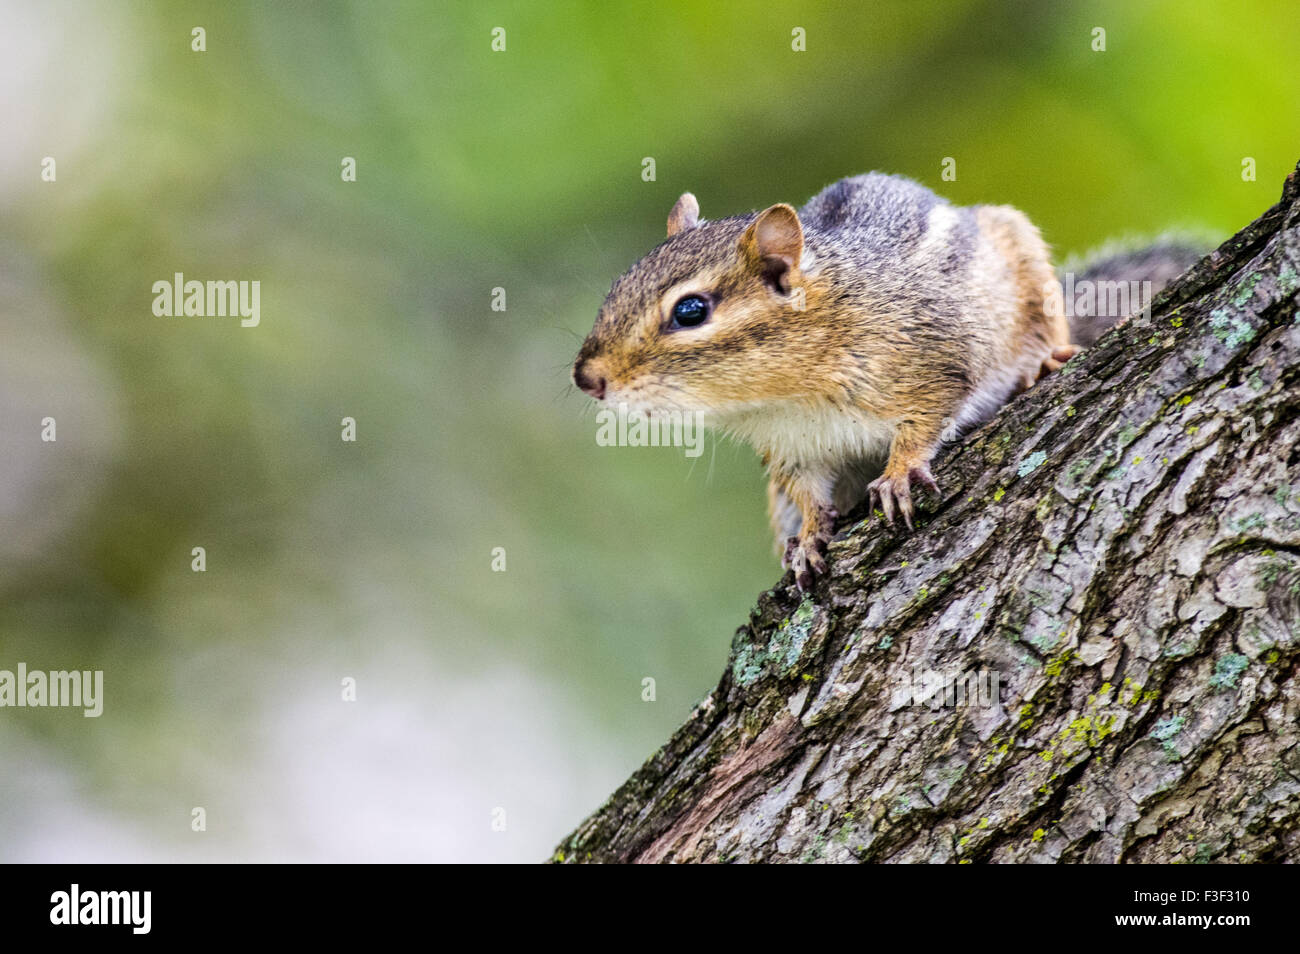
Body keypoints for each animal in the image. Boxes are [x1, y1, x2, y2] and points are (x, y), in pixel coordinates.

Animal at [572, 173, 1203, 590]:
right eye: (616, 288)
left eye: (690, 311)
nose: (586, 378)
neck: (783, 396)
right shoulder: (791, 451)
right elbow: (805, 489)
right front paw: (809, 537)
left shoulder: (932, 358)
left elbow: (927, 417)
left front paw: (899, 474)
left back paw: (1041, 362)